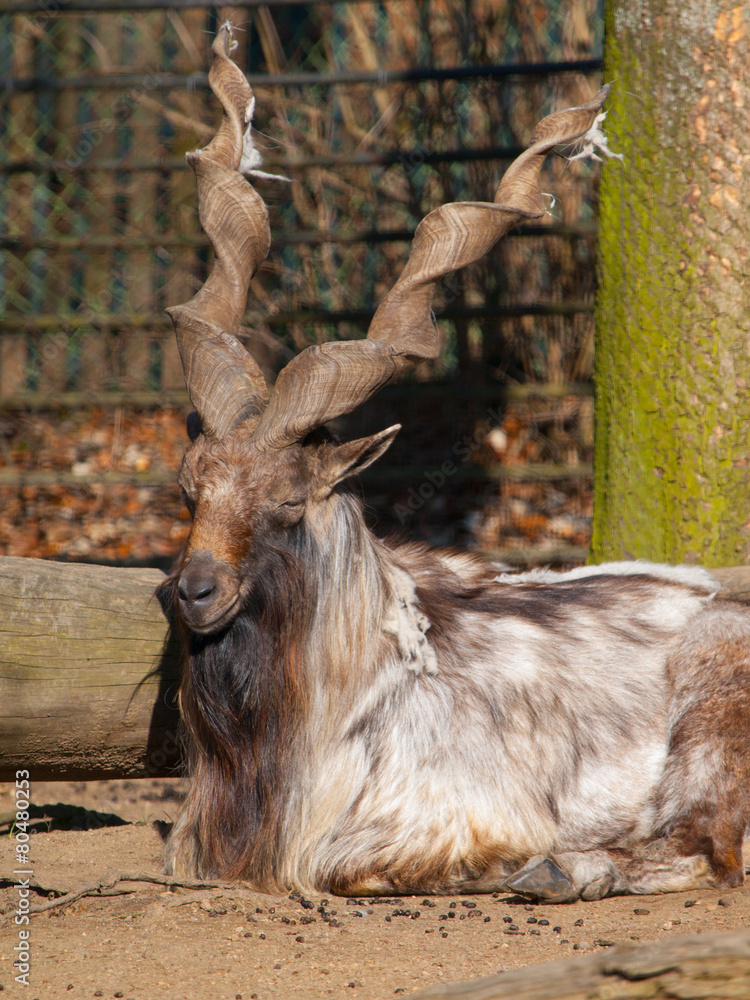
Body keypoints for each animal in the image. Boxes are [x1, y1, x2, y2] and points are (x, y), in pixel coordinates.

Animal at [162, 23, 750, 902]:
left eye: (290, 501)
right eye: (190, 490)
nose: (195, 593)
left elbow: (349, 866)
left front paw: (512, 860)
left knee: (710, 847)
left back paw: (559, 869)